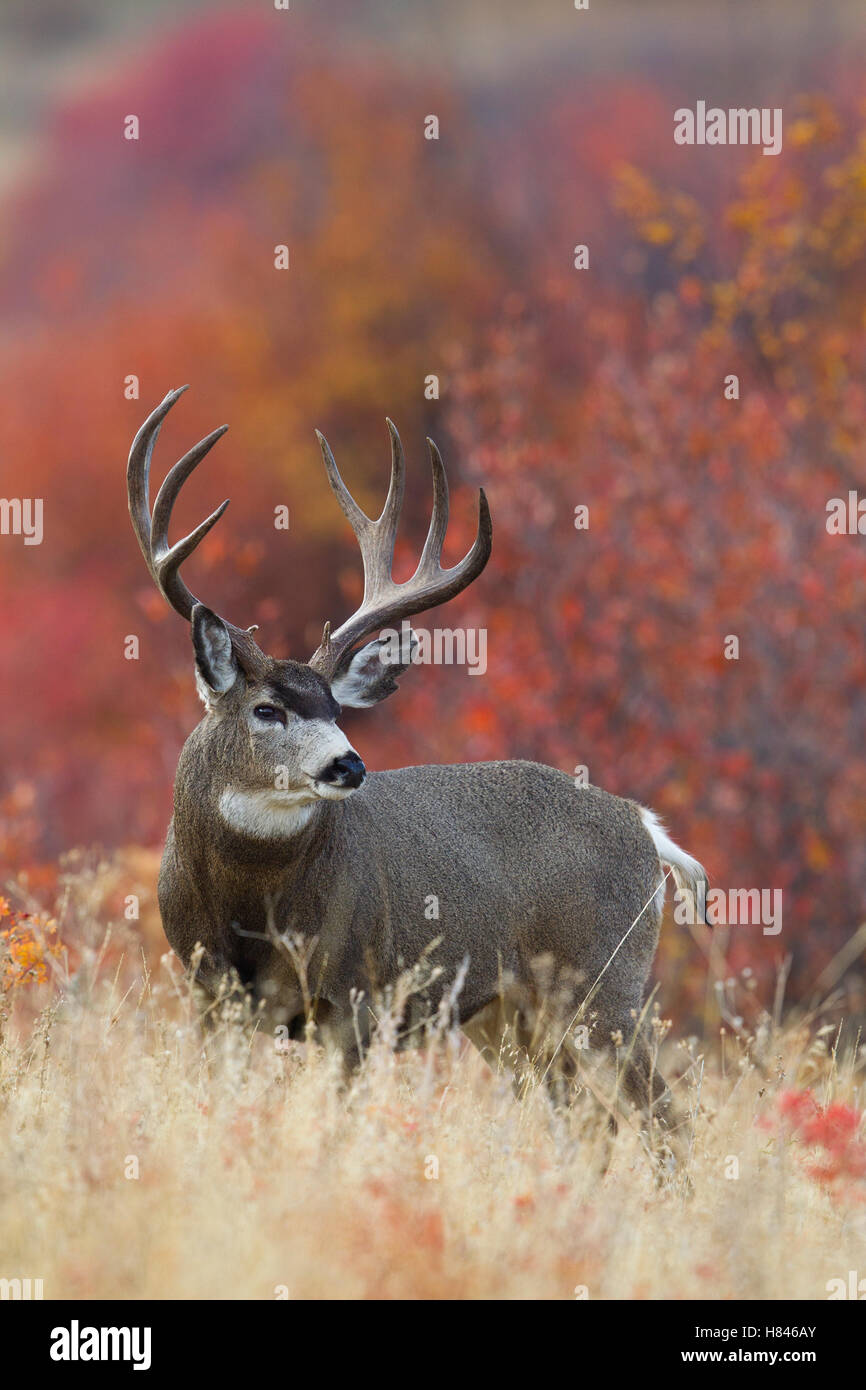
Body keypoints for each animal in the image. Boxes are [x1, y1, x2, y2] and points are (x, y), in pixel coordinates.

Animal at [127, 386, 709, 1129]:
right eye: (266, 710)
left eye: (336, 710)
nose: (348, 766)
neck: (251, 906)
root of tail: (643, 824)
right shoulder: (208, 994)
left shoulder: (358, 995)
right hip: (512, 1019)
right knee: (587, 1121)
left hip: (604, 981)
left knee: (665, 1117)